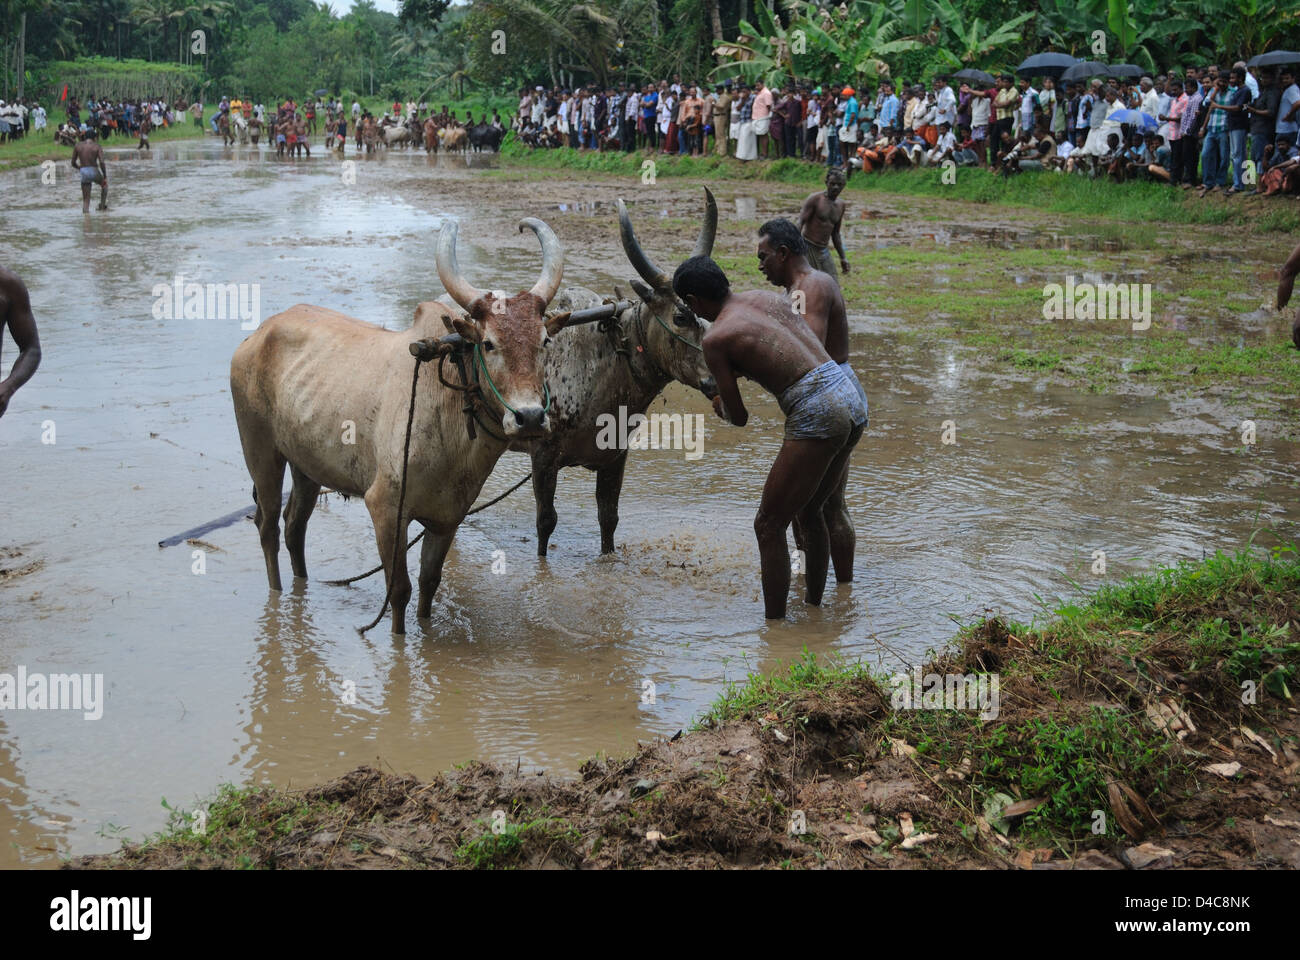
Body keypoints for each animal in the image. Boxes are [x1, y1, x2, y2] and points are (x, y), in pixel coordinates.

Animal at [231, 218, 569, 635]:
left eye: (545, 340)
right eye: (489, 344)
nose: (531, 417)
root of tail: (259, 334)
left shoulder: (447, 518)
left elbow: (428, 583)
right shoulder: (386, 508)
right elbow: (400, 590)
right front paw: (399, 641)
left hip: (305, 464)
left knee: (295, 527)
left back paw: (301, 586)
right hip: (260, 453)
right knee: (268, 527)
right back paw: (278, 594)